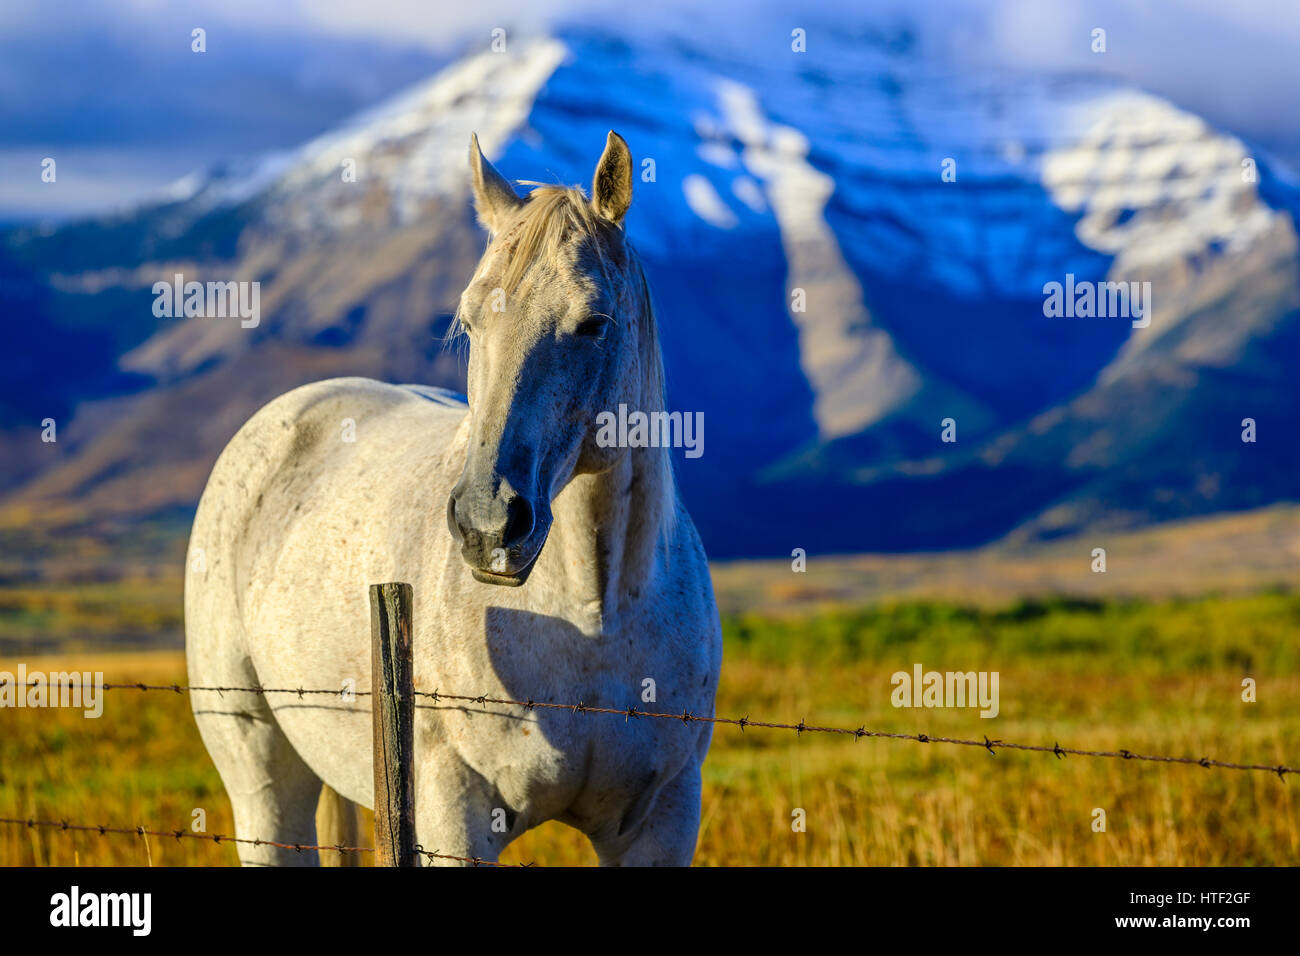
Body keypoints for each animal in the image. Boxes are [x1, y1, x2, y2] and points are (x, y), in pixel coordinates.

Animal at [184, 131, 723, 866]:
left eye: (593, 323)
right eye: (468, 322)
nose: (487, 525)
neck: (594, 614)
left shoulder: (663, 816)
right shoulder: (455, 810)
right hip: (261, 772)